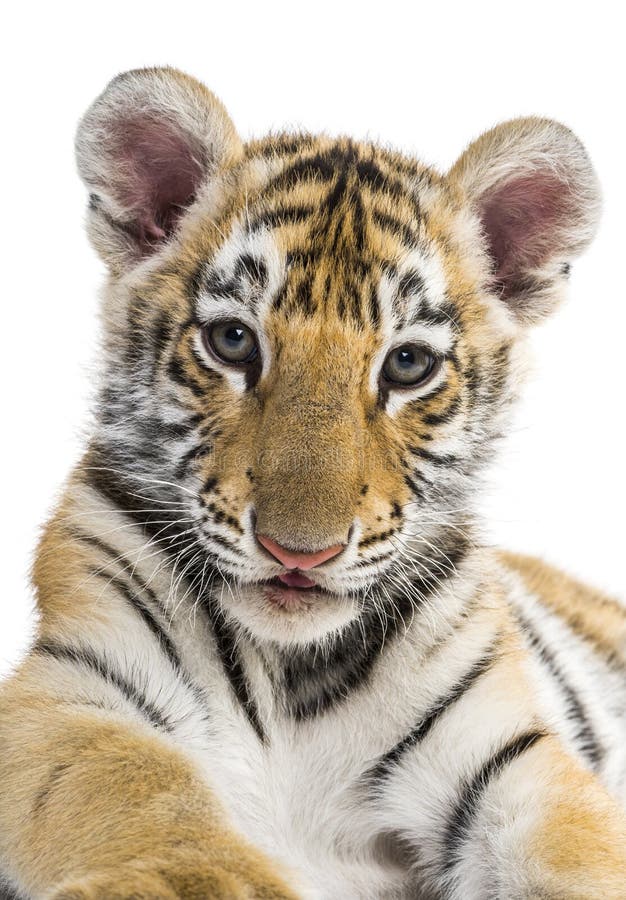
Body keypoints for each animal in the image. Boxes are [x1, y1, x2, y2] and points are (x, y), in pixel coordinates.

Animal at [0, 65, 624, 900]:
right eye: (233, 341)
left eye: (407, 364)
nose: (300, 553)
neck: (289, 670)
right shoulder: (72, 692)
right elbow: (145, 800)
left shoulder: (508, 756)